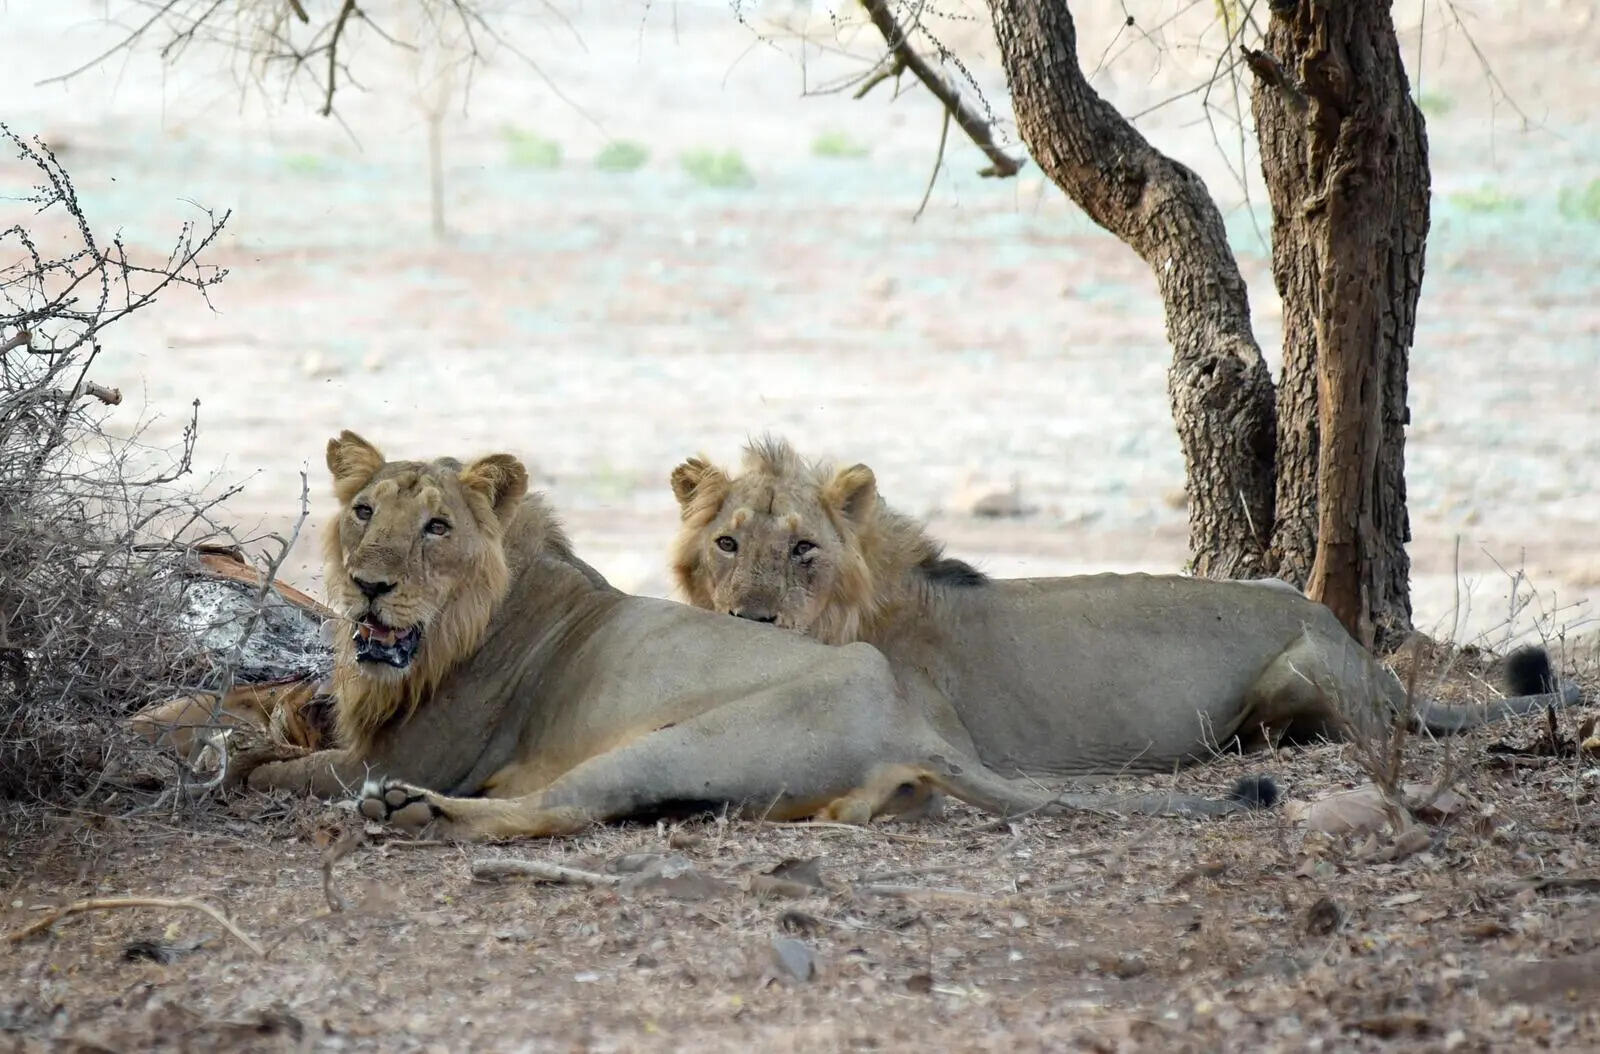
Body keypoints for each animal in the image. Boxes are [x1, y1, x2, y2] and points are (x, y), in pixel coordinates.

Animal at [240, 431, 1268, 842]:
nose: (370, 586)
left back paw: (410, 815)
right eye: (363, 512)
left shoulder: (411, 749)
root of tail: (916, 722)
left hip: (679, 739)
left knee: (553, 811)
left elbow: (263, 765)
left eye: (435, 528)